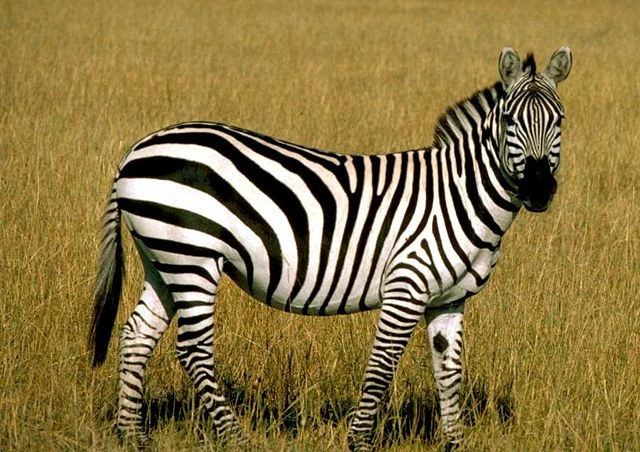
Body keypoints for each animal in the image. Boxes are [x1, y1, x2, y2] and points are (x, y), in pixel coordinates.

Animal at [89, 47, 571, 450]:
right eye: (510, 122)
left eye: (560, 121)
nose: (539, 190)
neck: (458, 196)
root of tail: (137, 149)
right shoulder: (406, 285)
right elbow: (382, 366)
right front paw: (359, 441)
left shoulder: (449, 299)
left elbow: (448, 371)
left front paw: (454, 442)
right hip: (192, 258)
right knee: (193, 349)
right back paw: (236, 438)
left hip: (164, 259)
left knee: (137, 334)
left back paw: (132, 435)